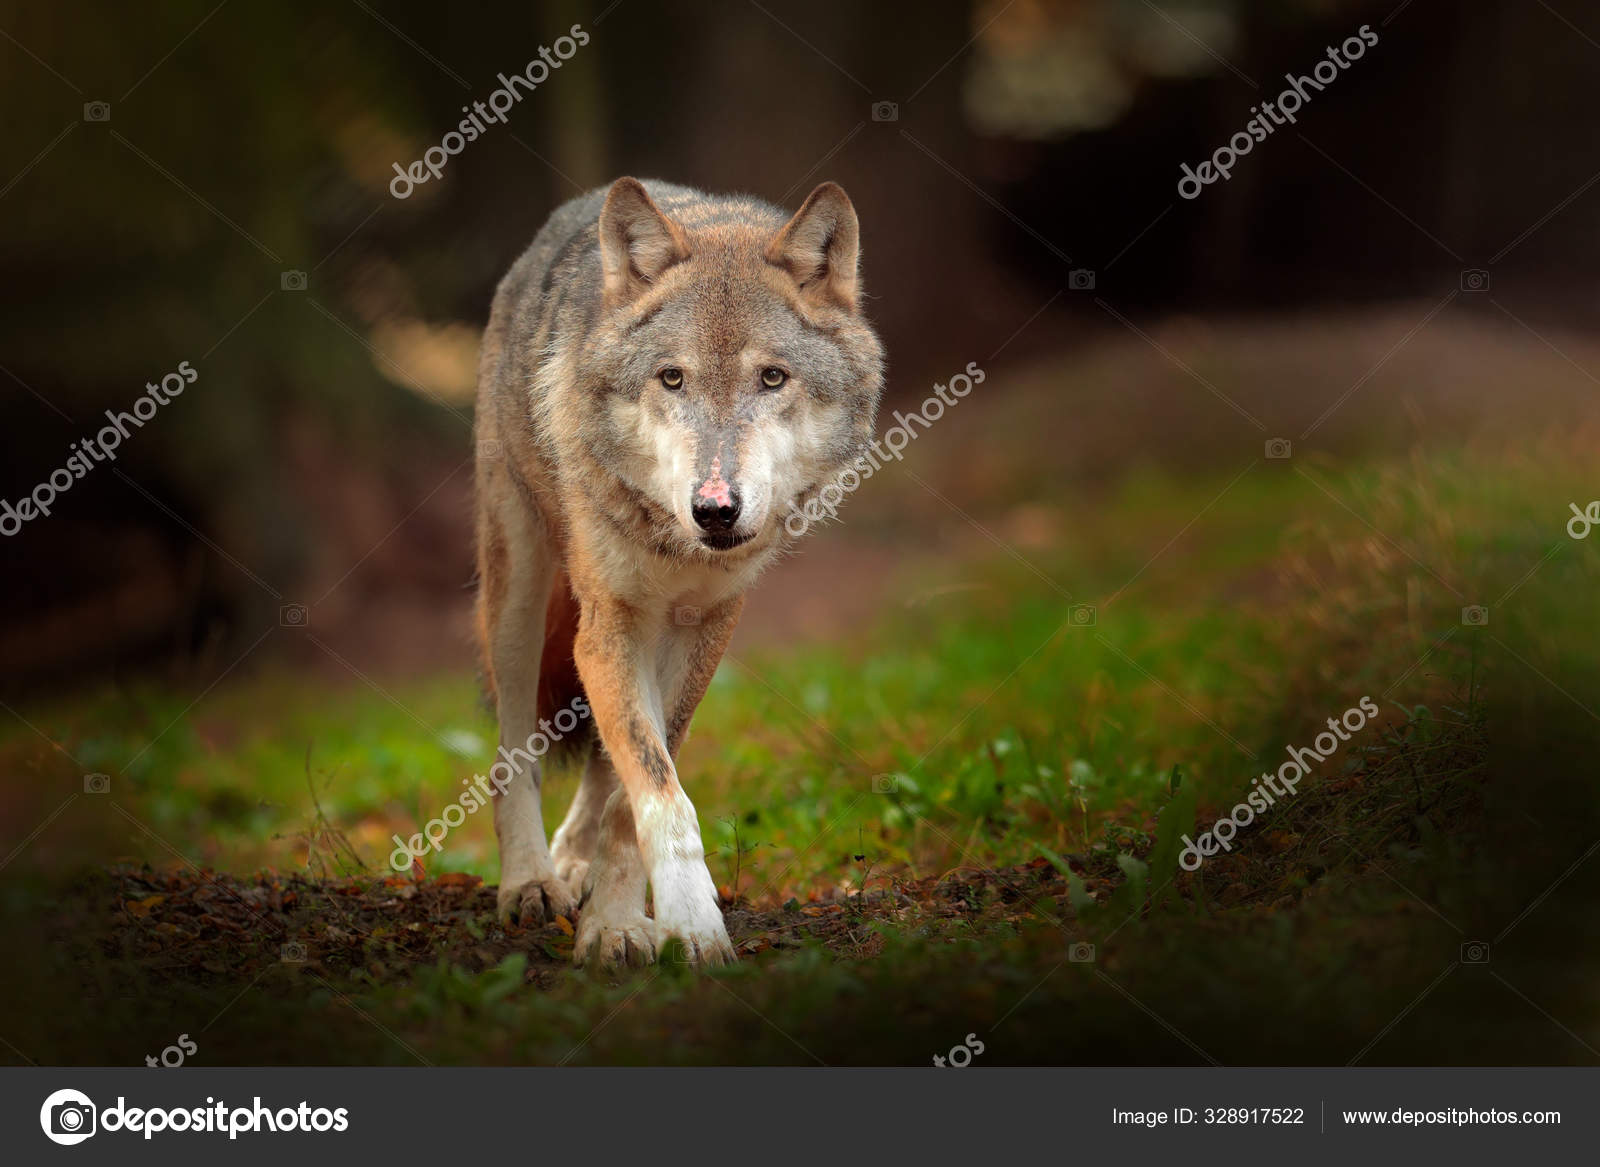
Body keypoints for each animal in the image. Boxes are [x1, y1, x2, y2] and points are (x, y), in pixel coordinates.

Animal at [473, 177, 884, 966]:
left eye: (772, 378)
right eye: (672, 378)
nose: (715, 510)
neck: (673, 545)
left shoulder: (704, 625)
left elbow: (632, 791)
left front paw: (620, 922)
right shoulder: (610, 624)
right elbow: (657, 787)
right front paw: (685, 922)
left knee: (601, 771)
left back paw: (575, 866)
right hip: (518, 602)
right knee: (514, 752)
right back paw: (533, 880)